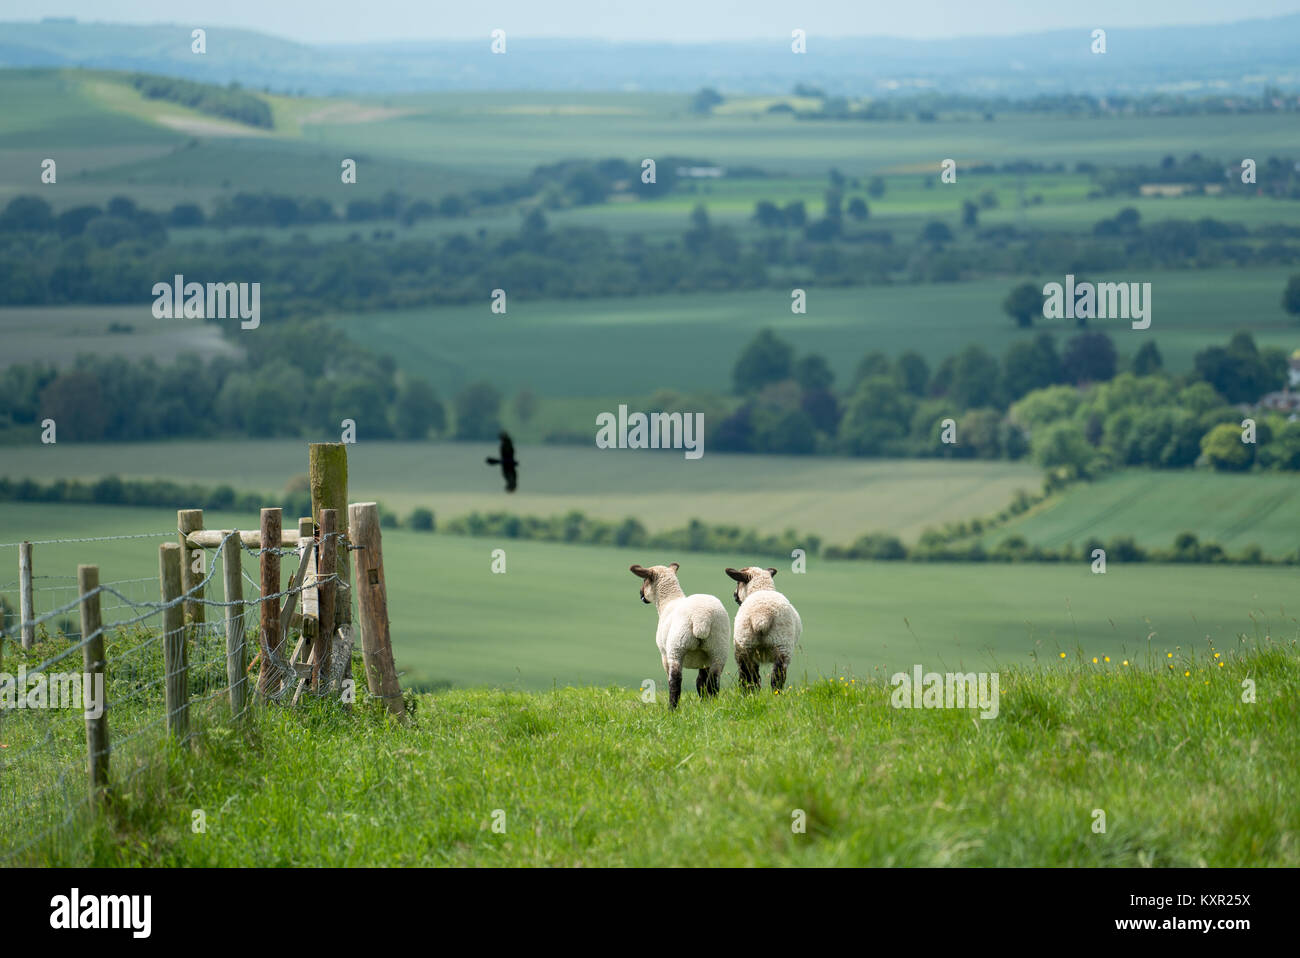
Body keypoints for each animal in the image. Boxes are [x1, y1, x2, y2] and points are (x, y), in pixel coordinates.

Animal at [629, 562, 729, 709]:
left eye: (644, 580)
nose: (640, 593)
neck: (667, 602)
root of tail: (701, 618)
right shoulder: (704, 661)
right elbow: (700, 682)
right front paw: (704, 702)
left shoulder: (664, 655)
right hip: (718, 649)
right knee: (713, 681)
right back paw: (713, 705)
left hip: (677, 647)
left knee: (675, 681)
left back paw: (672, 708)